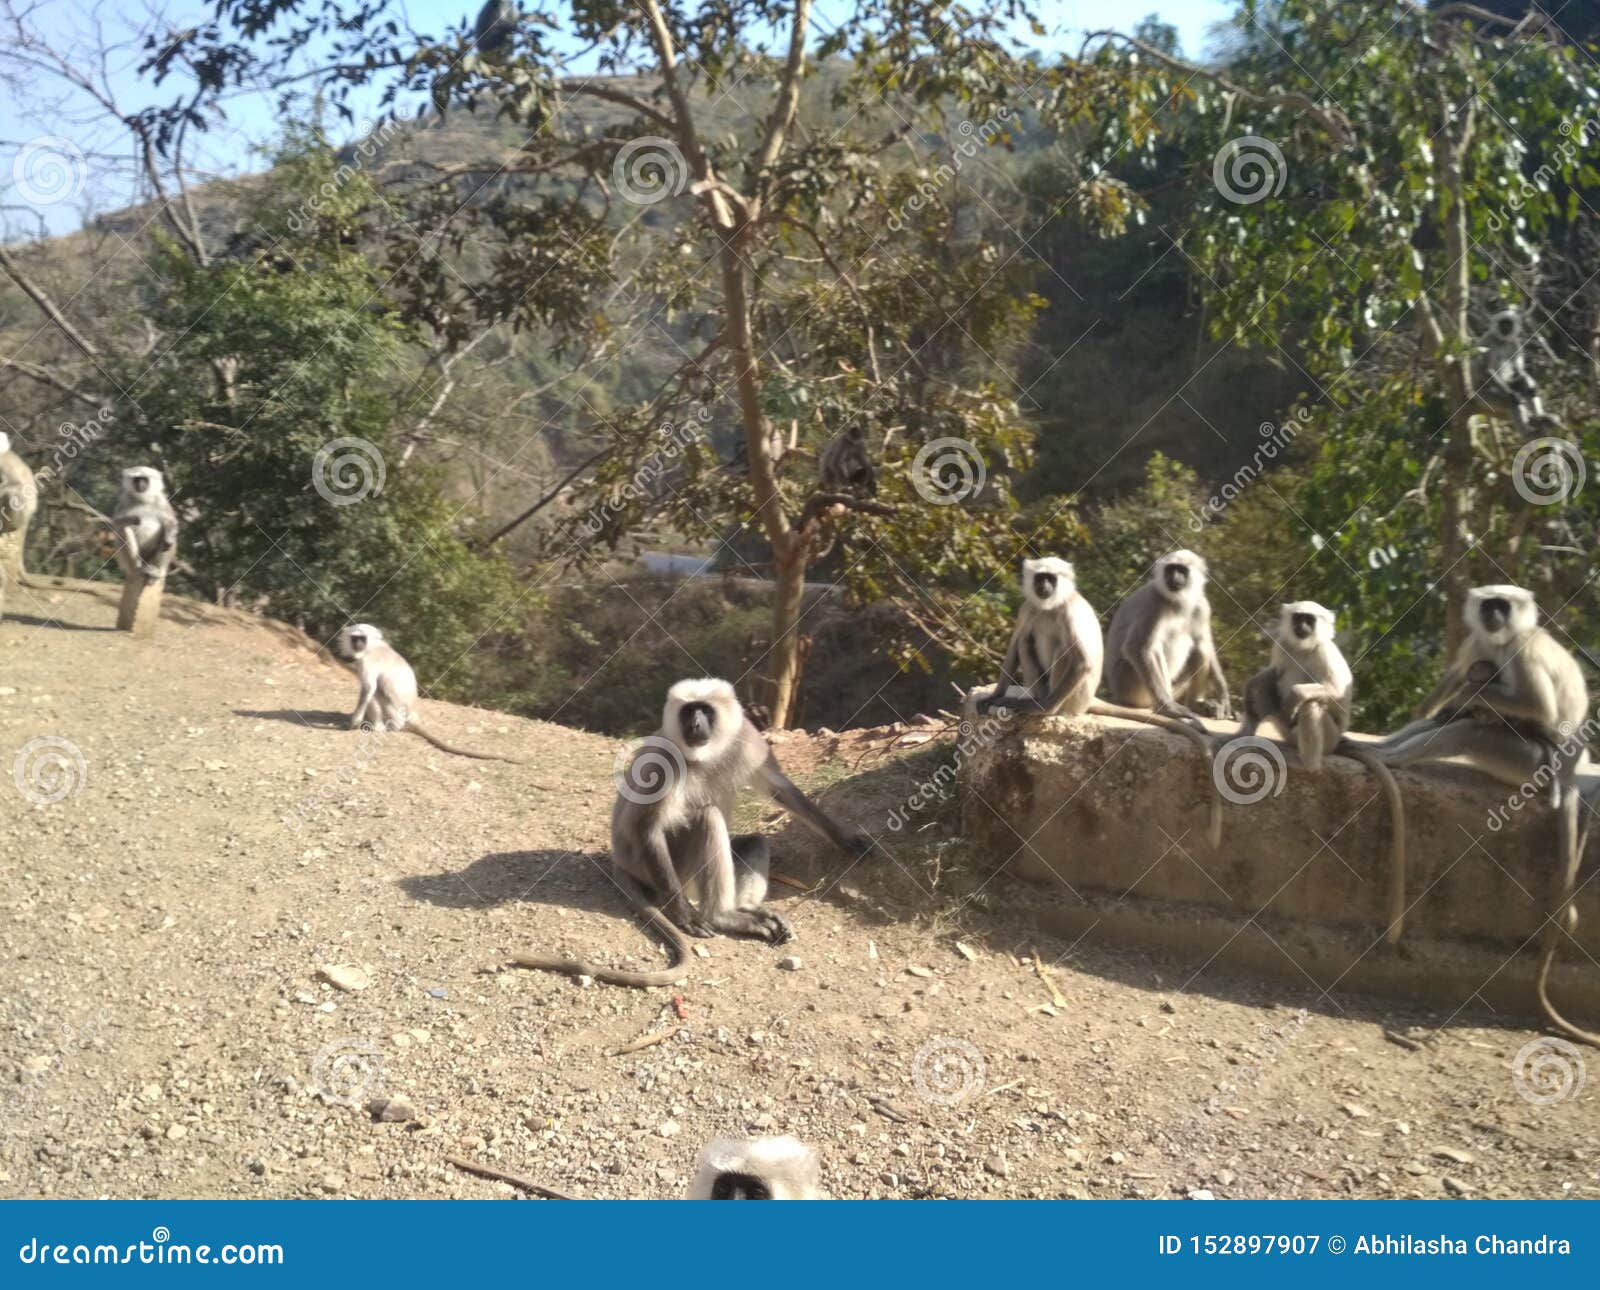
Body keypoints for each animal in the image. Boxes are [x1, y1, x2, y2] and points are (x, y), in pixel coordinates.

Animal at [334, 624, 527, 764]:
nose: (358, 644)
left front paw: (353, 723)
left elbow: (368, 688)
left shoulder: (370, 658)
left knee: (375, 694)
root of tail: (412, 716)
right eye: (355, 638)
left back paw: (378, 727)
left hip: (393, 715)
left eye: (363, 638)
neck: (375, 646)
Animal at [514, 678, 871, 988]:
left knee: (754, 840)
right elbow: (647, 827)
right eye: (689, 711)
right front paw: (685, 914)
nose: (696, 725)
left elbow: (782, 792)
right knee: (706, 817)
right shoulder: (663, 759)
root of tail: (621, 861)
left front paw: (847, 841)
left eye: (706, 711)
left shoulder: (747, 739)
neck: (706, 754)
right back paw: (723, 916)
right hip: (669, 870)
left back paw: (747, 909)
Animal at [972, 554, 1225, 848]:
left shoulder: (1067, 612)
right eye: (1040, 578)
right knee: (1026, 639)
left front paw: (1043, 708)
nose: (1044, 587)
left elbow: (1082, 661)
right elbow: (1015, 645)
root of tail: (1088, 699)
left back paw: (1045, 707)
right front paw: (995, 695)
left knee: (1064, 649)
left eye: (1051, 578)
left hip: (1076, 696)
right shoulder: (1029, 606)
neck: (1051, 606)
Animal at [1237, 601, 1408, 943]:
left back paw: (1309, 763)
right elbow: (1269, 674)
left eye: (1310, 620)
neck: (1303, 647)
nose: (1303, 627)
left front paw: (1299, 694)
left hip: (1328, 735)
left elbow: (1336, 696)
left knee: (1312, 707)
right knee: (1267, 685)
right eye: (1298, 619)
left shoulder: (1325, 652)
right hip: (1283, 727)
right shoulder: (1283, 645)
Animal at [1369, 586, 1598, 1045]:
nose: (1493, 615)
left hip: (1526, 761)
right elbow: (1455, 683)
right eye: (1489, 604)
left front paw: (1472, 692)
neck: (1501, 639)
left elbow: (1536, 707)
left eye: (1503, 606)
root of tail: (1566, 772)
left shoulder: (1523, 650)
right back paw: (1381, 747)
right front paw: (1446, 697)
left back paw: (1391, 756)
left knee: (1472, 729)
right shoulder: (1478, 642)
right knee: (1456, 719)